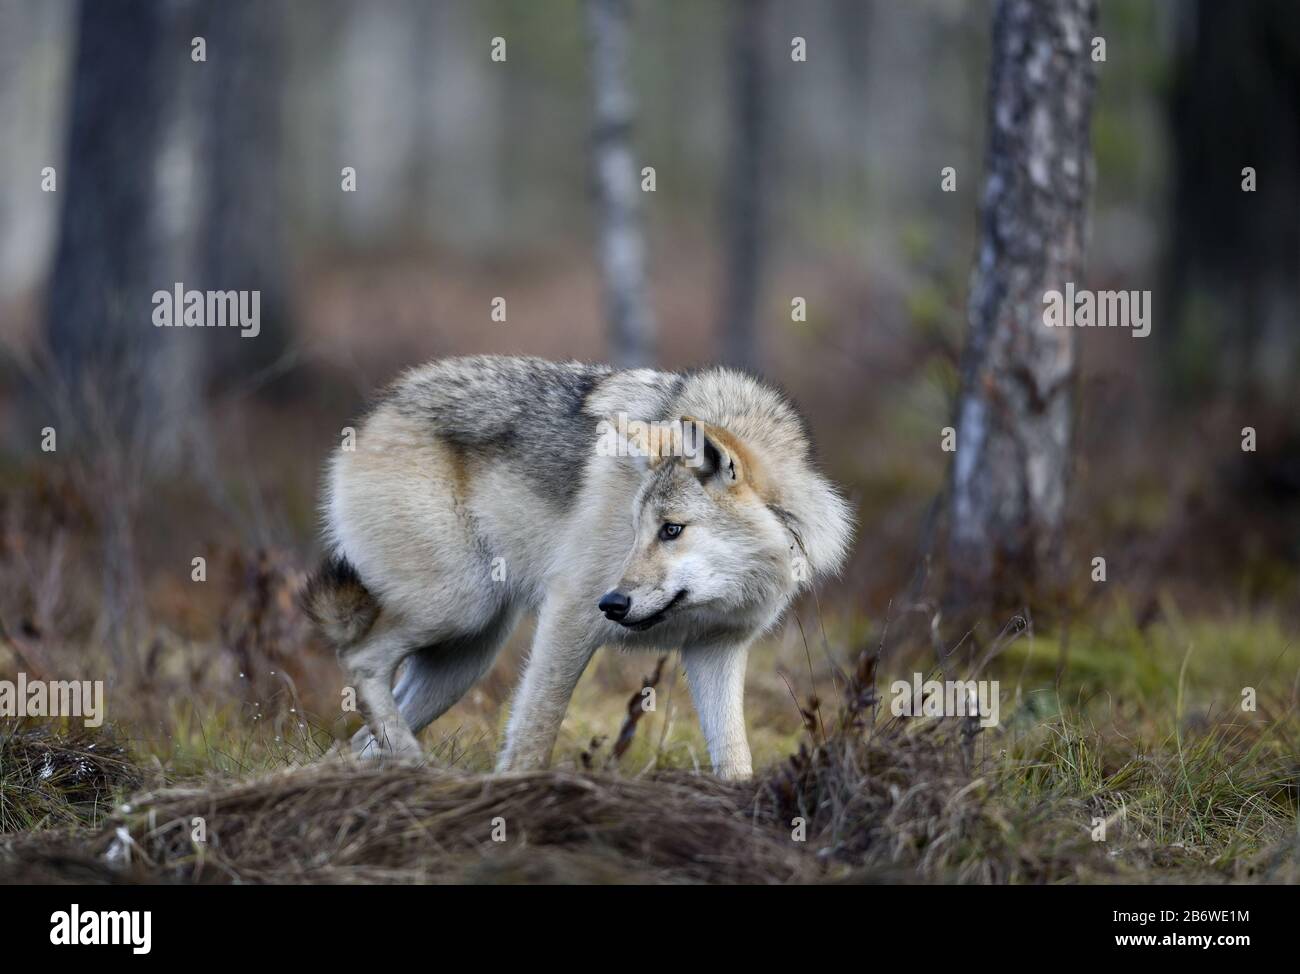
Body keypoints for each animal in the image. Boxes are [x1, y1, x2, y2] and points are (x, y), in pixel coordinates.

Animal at [303, 355, 854, 778]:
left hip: (467, 655)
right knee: (359, 658)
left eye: (671, 530)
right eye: (639, 530)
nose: (613, 602)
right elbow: (534, 730)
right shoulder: (569, 614)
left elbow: (735, 760)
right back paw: (415, 765)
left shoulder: (716, 649)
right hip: (459, 609)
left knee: (360, 735)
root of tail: (381, 407)